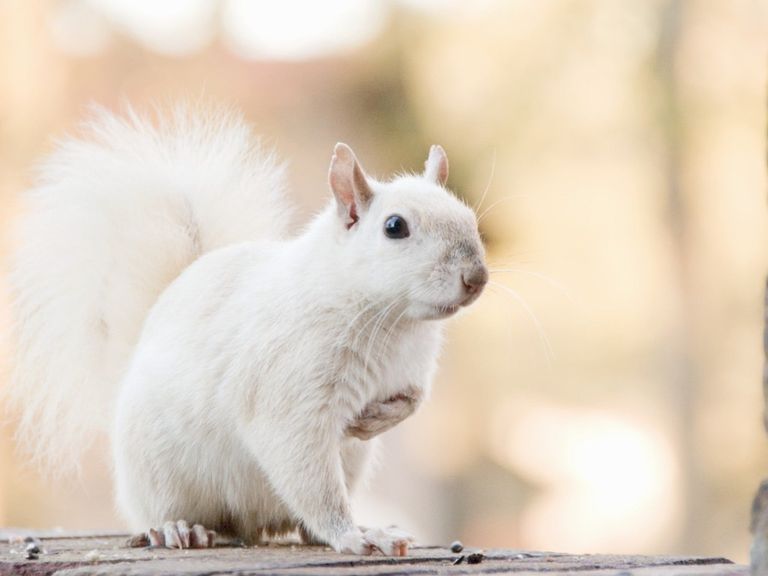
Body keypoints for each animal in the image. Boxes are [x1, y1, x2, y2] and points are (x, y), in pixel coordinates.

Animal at [6, 105, 488, 556]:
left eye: (468, 217)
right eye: (394, 227)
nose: (477, 277)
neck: (392, 322)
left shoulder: (412, 370)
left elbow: (412, 401)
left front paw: (372, 420)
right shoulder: (290, 398)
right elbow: (313, 480)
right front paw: (352, 536)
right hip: (156, 470)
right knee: (169, 511)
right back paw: (178, 528)